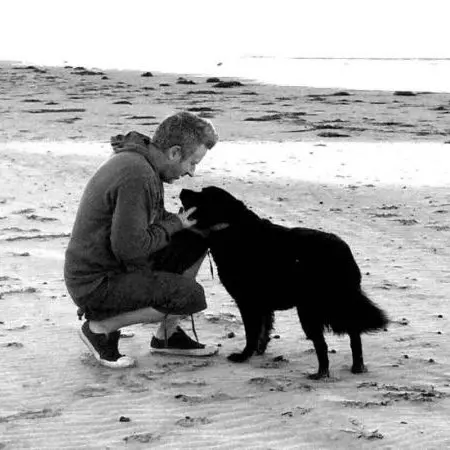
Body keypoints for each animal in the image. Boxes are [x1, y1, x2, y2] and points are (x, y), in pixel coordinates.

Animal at [181, 185, 388, 378]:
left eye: (202, 194)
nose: (183, 189)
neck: (230, 225)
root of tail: (343, 253)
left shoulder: (247, 302)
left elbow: (252, 333)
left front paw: (244, 355)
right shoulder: (263, 305)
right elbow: (264, 331)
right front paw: (259, 351)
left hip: (310, 309)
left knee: (322, 344)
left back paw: (321, 373)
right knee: (354, 333)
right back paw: (357, 367)